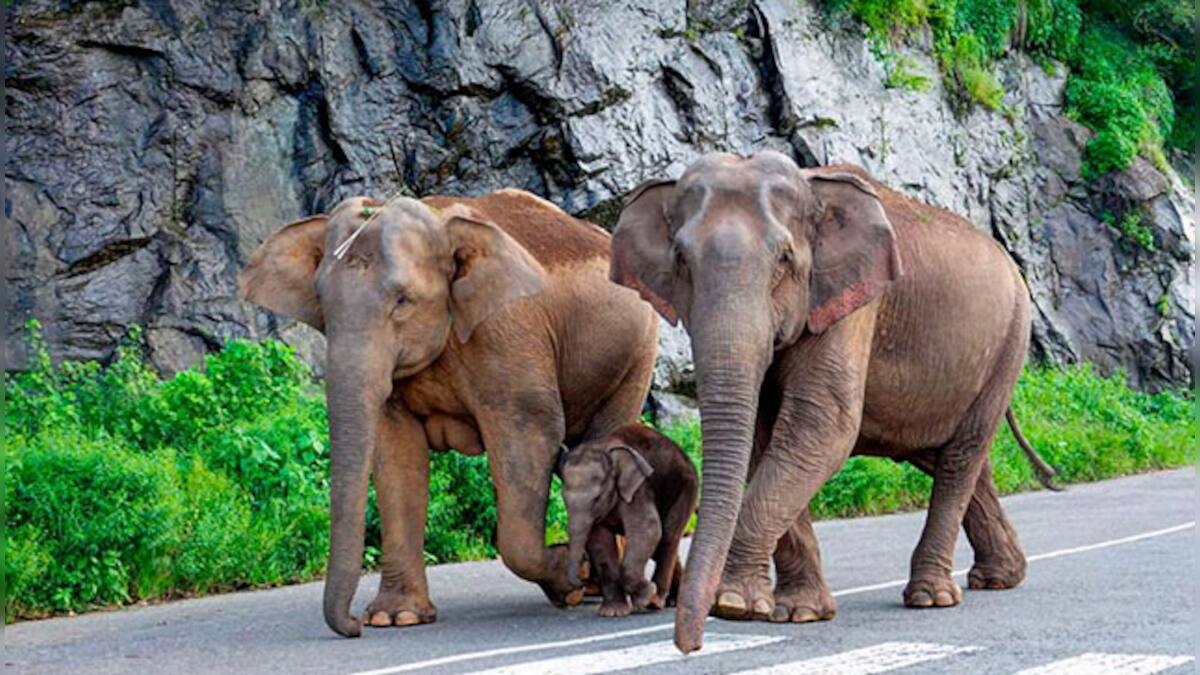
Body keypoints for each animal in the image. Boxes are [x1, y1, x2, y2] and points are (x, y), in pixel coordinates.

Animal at [239, 189, 658, 637]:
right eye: (321, 303)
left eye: (402, 300)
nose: (353, 626)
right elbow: (397, 455)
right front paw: (396, 618)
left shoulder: (506, 334)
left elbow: (529, 438)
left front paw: (567, 574)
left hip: (636, 354)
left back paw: (601, 588)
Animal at [557, 423, 698, 617]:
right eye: (563, 497)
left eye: (597, 498)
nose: (583, 583)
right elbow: (599, 541)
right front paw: (612, 613)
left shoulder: (639, 489)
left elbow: (647, 530)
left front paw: (647, 594)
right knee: (662, 545)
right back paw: (671, 600)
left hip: (685, 487)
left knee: (667, 538)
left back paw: (656, 601)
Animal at [610, 151, 1057, 653]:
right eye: (681, 259)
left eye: (784, 259)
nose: (690, 646)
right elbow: (766, 437)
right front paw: (797, 612)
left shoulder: (852, 304)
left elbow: (820, 427)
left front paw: (736, 605)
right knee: (954, 459)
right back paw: (998, 578)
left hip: (1009, 344)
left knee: (961, 457)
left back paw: (932, 597)